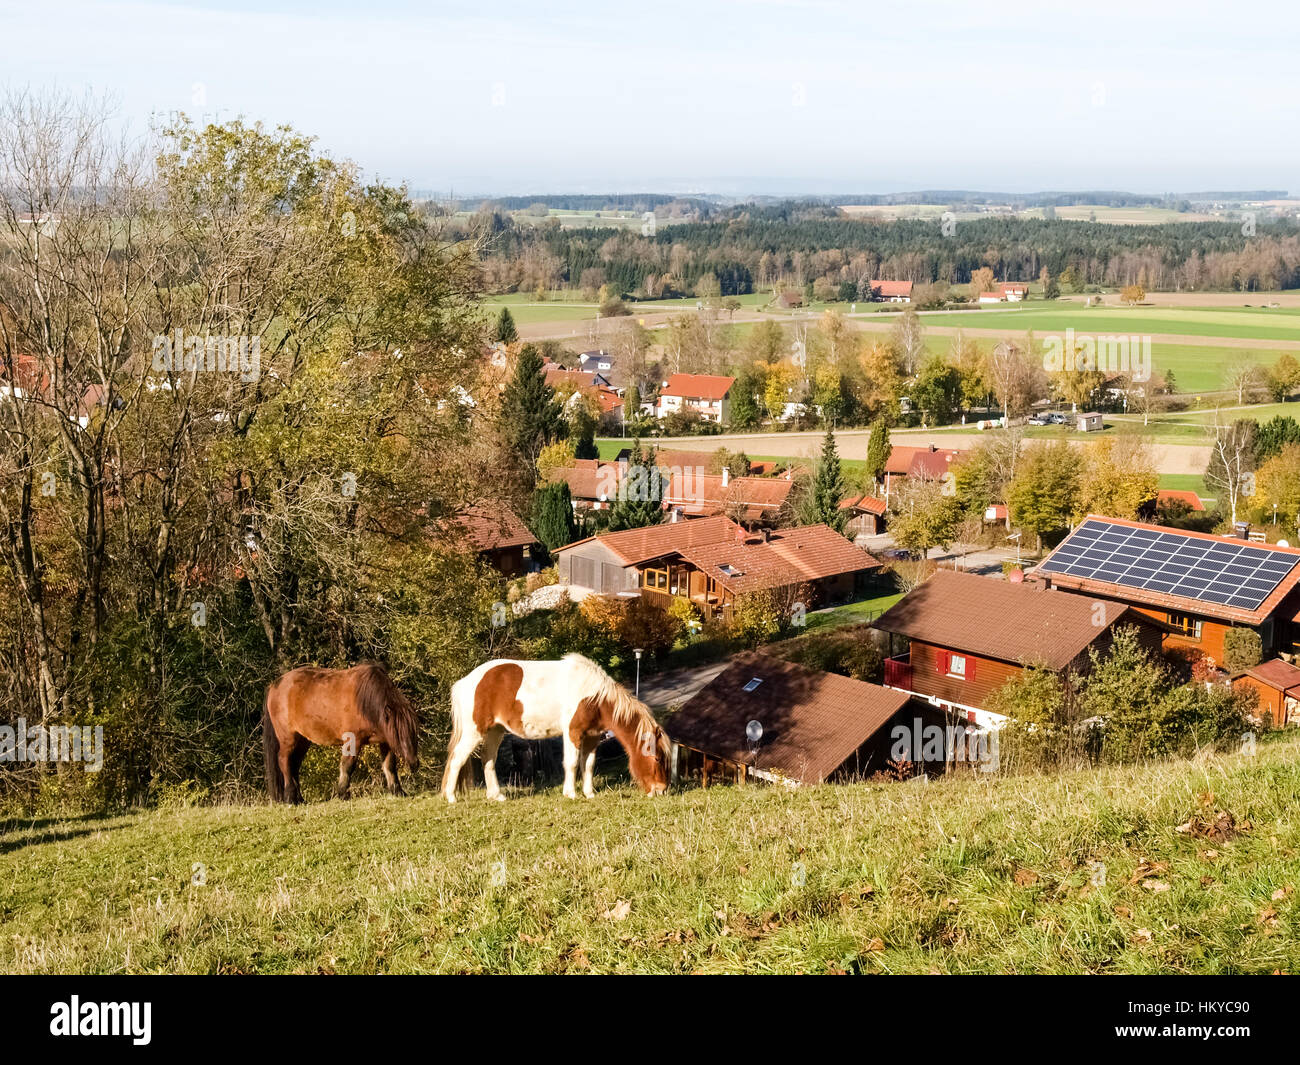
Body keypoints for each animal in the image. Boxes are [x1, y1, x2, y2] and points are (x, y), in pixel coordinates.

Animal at [263, 663, 420, 804]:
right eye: (399, 733)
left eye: (414, 732)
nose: (414, 764)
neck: (365, 701)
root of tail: (274, 685)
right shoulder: (353, 740)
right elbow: (347, 766)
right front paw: (343, 794)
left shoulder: (385, 741)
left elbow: (389, 766)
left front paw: (398, 791)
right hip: (288, 739)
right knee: (284, 761)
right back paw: (290, 798)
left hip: (302, 740)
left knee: (294, 765)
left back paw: (299, 799)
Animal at [442, 653, 671, 802]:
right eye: (657, 758)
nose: (661, 790)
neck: (594, 697)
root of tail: (464, 682)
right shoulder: (573, 733)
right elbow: (571, 763)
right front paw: (571, 793)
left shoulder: (592, 737)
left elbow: (588, 765)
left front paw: (589, 793)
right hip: (474, 732)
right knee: (457, 759)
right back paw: (451, 797)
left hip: (495, 732)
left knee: (488, 760)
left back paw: (496, 795)